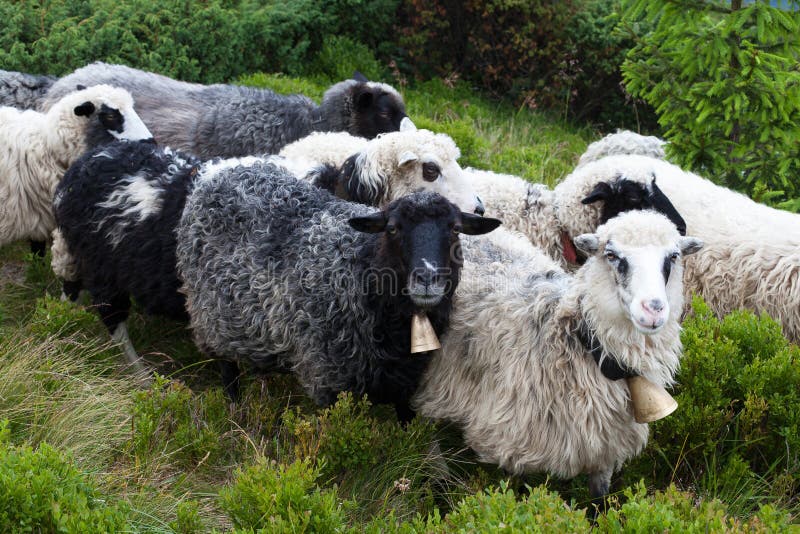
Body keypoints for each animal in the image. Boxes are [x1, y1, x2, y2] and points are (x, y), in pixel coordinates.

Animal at [175, 165, 501, 420]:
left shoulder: (407, 379)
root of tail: (219, 175)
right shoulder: (328, 376)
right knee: (226, 365)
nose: (427, 277)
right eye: (392, 229)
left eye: (455, 229)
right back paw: (234, 405)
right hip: (212, 316)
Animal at [413, 210, 704, 503]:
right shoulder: (513, 441)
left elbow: (598, 503)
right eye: (611, 255)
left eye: (673, 256)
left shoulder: (604, 450)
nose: (653, 309)